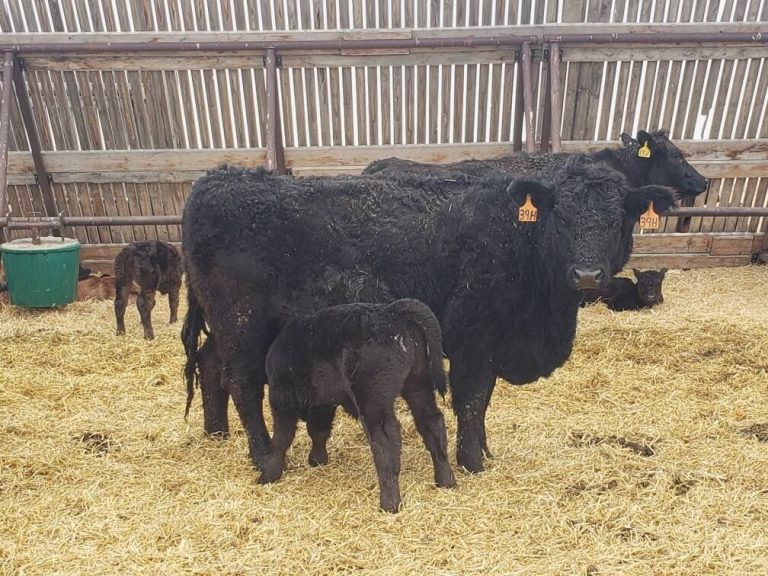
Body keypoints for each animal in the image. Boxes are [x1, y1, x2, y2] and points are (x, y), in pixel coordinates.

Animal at [181, 158, 677, 474]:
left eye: (618, 218)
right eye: (562, 216)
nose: (588, 274)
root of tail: (218, 179)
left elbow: (483, 403)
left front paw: (484, 453)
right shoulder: (473, 338)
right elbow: (471, 400)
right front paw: (473, 463)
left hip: (232, 328)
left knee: (210, 367)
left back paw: (216, 434)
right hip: (242, 324)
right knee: (242, 385)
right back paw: (262, 454)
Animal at [259, 299, 456, 513]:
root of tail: (392, 312)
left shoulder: (282, 397)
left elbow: (281, 438)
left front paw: (268, 474)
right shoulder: (323, 402)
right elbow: (318, 431)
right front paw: (317, 460)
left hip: (372, 398)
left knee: (386, 439)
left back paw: (389, 503)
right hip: (418, 385)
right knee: (432, 422)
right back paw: (446, 480)